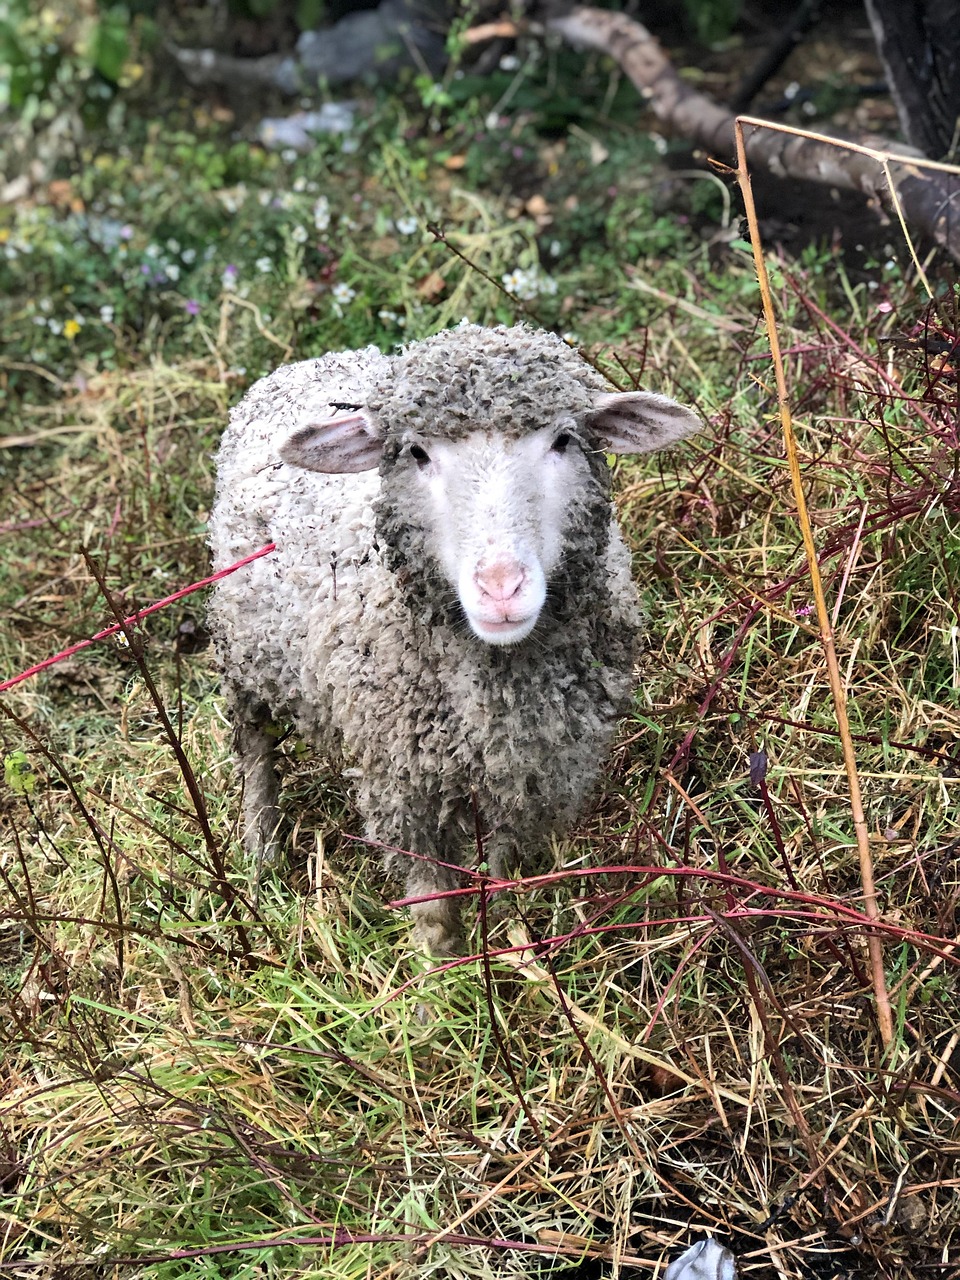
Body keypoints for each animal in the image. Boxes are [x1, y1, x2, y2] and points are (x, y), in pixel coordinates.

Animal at [208, 323, 701, 955]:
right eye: (416, 453)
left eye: (564, 440)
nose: (500, 587)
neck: (497, 686)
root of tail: (315, 359)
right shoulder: (399, 783)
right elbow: (434, 906)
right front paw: (441, 972)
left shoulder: (532, 776)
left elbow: (505, 869)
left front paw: (513, 945)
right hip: (243, 656)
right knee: (255, 755)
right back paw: (262, 855)